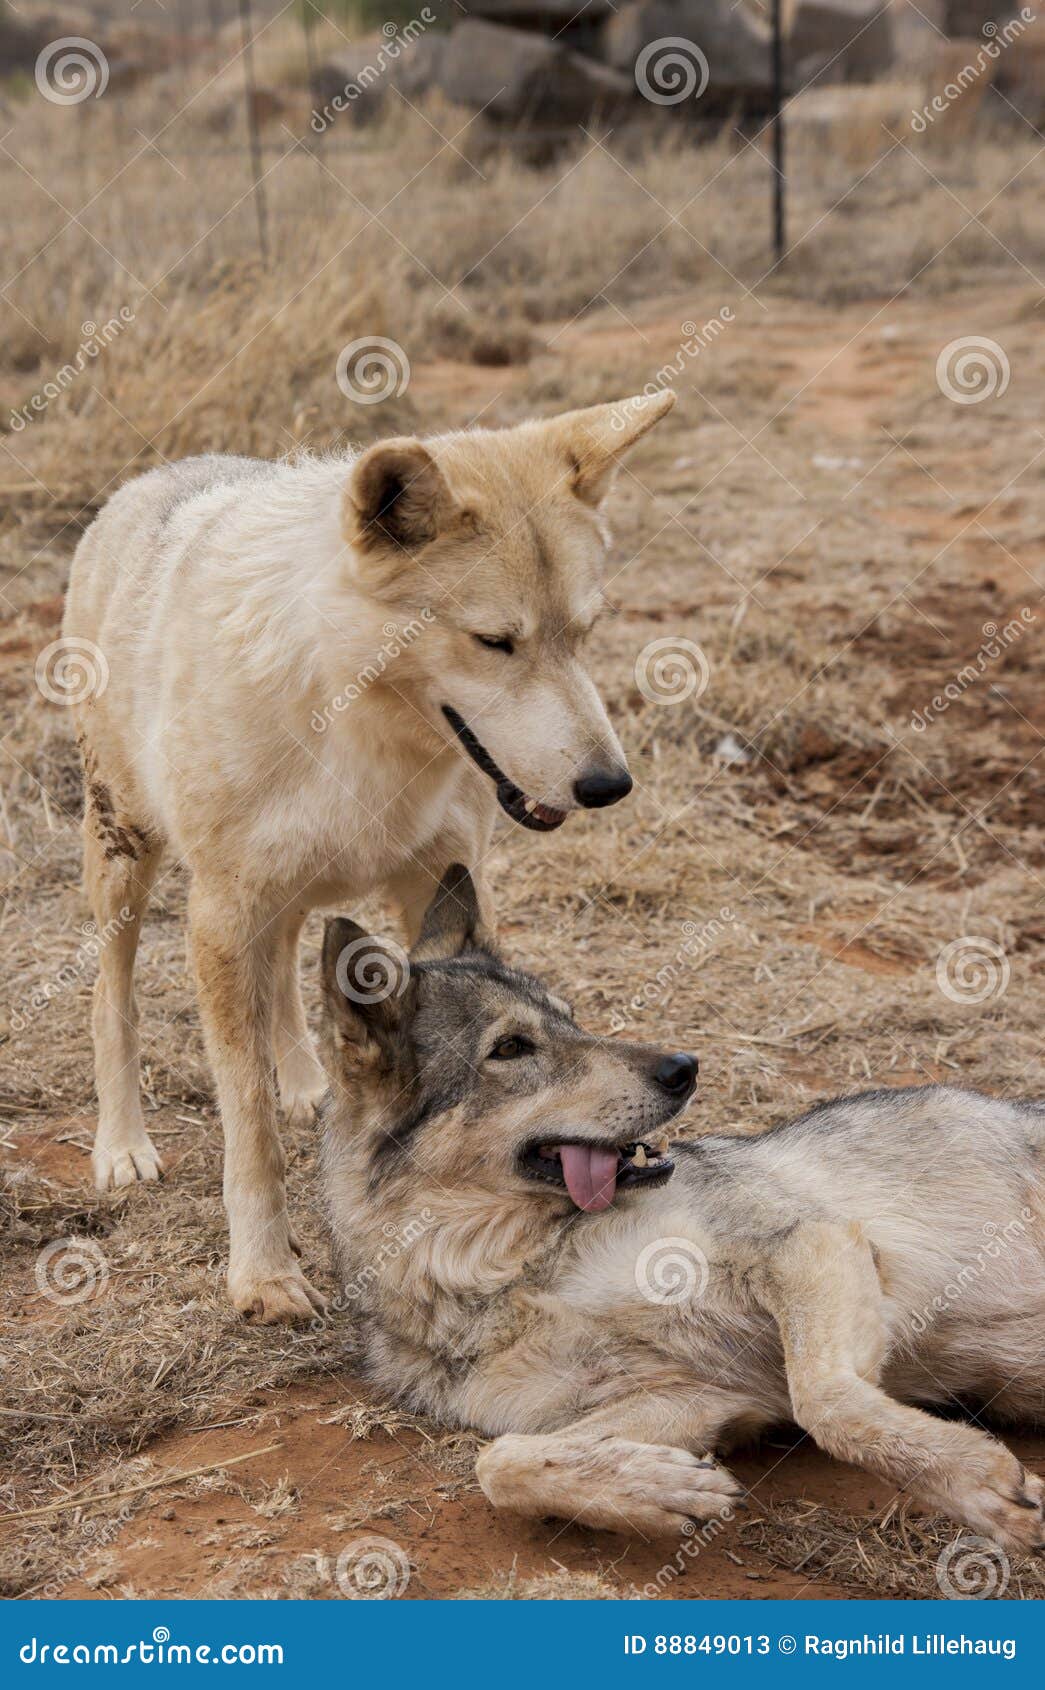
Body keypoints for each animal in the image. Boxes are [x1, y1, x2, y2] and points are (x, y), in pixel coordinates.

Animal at [61, 392, 674, 1322]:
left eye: (584, 633)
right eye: (494, 642)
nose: (608, 784)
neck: (355, 718)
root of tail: (158, 475)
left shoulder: (439, 885)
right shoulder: (220, 913)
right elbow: (248, 1124)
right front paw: (264, 1275)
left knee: (285, 966)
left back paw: (309, 1082)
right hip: (124, 859)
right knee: (113, 998)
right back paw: (122, 1144)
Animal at [320, 867, 1045, 1552]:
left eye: (572, 1018)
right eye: (511, 1048)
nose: (683, 1067)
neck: (507, 1266)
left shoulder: (806, 1242)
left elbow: (828, 1403)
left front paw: (977, 1485)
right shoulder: (694, 1397)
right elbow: (500, 1464)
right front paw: (658, 1490)